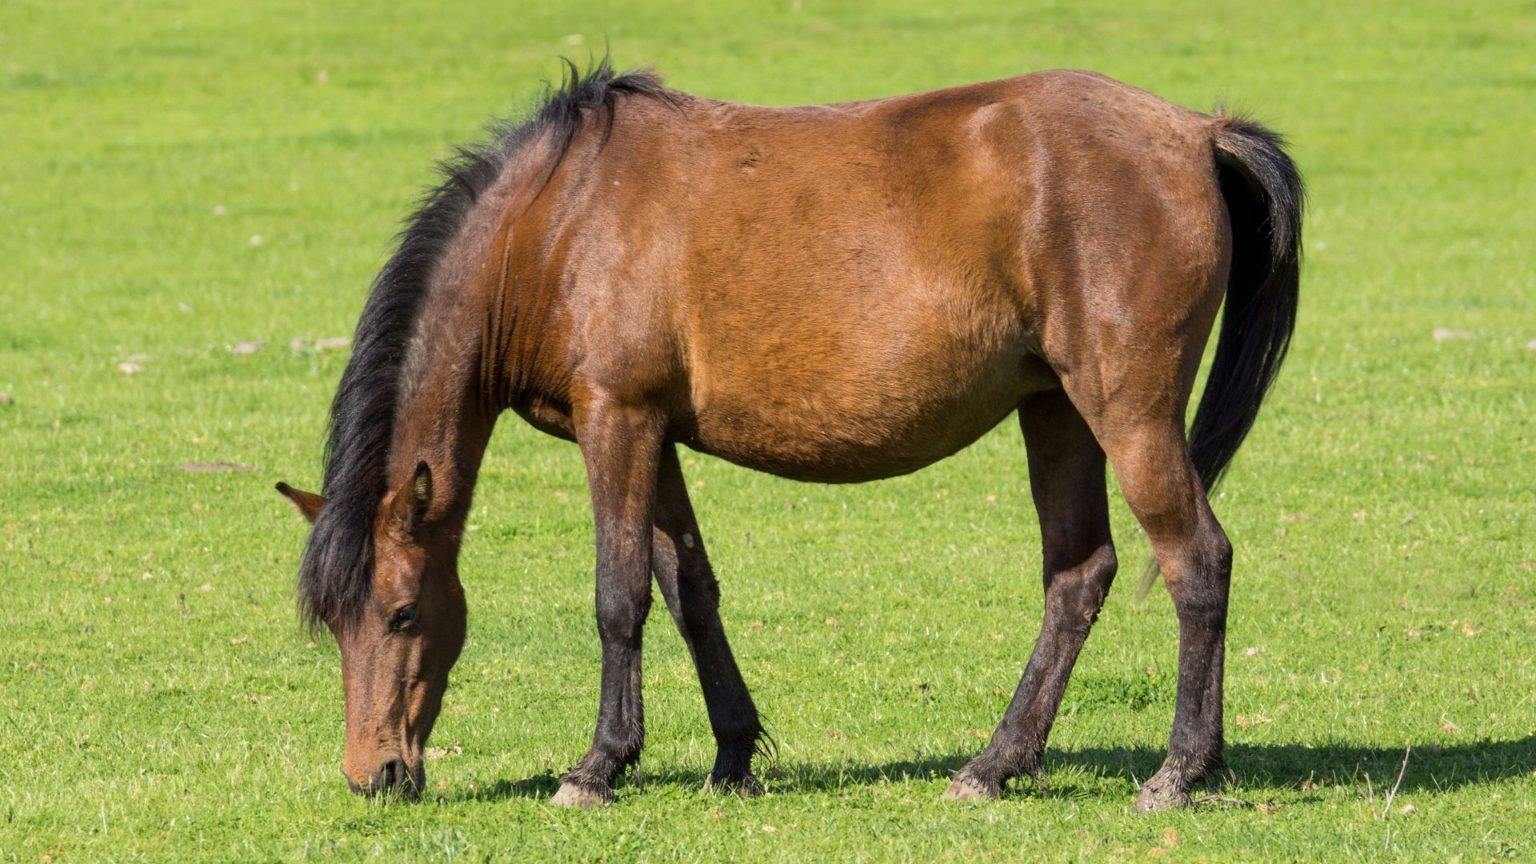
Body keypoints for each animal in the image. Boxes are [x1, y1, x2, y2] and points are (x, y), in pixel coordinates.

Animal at [276, 60, 1301, 811]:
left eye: (403, 615)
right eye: (335, 623)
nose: (375, 776)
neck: (556, 224)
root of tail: (1195, 133)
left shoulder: (618, 423)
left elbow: (619, 596)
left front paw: (599, 767)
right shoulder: (652, 434)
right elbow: (687, 588)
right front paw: (733, 756)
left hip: (1127, 413)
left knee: (1196, 562)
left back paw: (1178, 771)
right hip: (1056, 411)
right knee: (1079, 576)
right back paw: (995, 765)